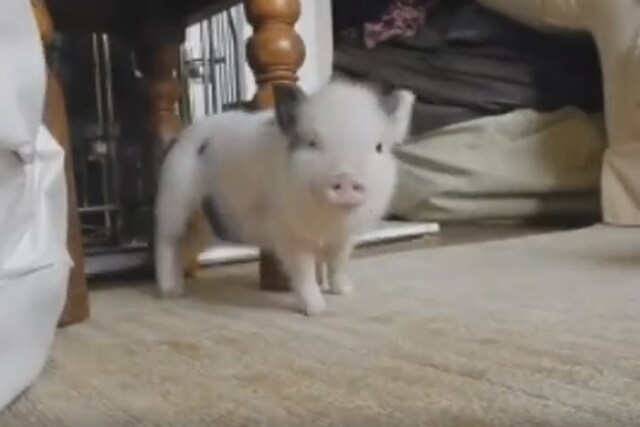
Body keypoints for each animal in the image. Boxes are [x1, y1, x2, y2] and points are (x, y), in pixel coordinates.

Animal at [154, 79, 415, 315]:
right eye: (312, 143)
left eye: (379, 147)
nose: (346, 178)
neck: (329, 220)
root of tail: (182, 138)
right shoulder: (288, 233)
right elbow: (304, 271)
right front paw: (318, 310)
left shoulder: (345, 236)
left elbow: (338, 263)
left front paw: (344, 292)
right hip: (174, 199)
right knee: (165, 243)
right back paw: (171, 291)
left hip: (202, 224)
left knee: (185, 247)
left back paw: (182, 286)